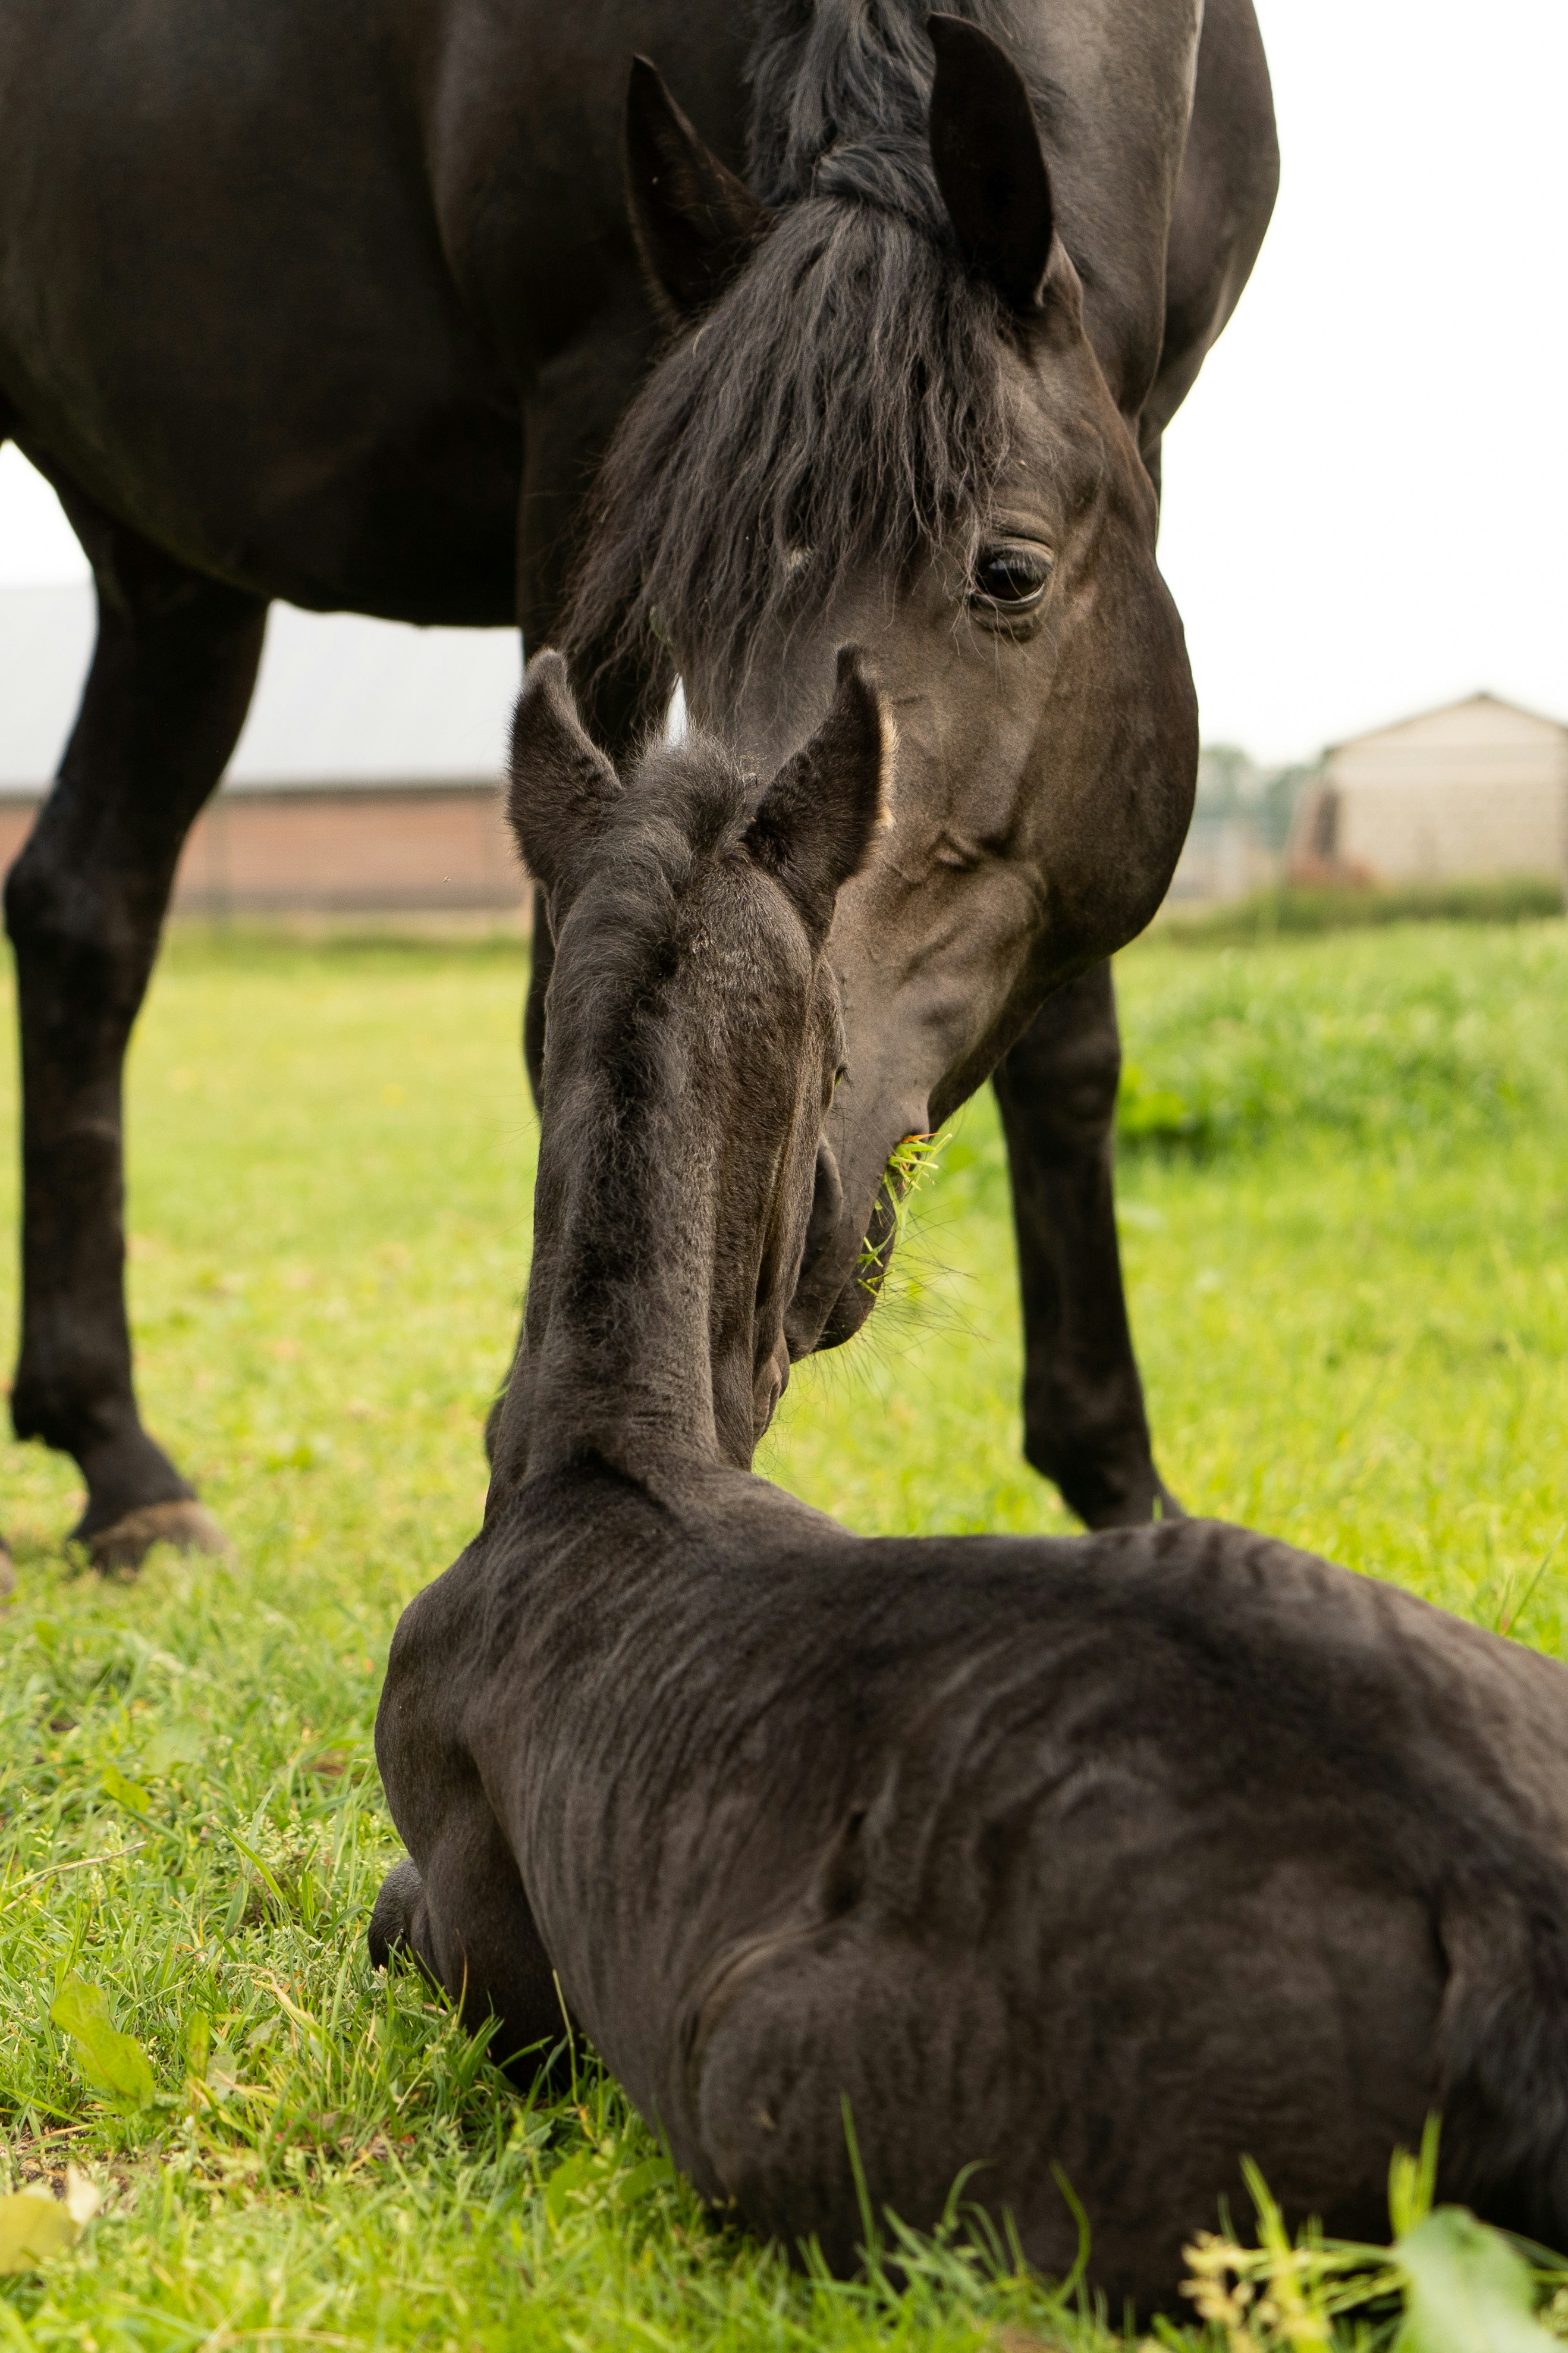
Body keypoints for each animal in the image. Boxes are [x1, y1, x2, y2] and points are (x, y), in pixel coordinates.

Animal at [0, 1, 1276, 1568]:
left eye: (1011, 571)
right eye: (682, 605)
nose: (776, 1190)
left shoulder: (1139, 421)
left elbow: (1068, 1048)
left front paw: (1116, 1481)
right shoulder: (584, 413)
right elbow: (559, 995)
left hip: (169, 570)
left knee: (83, 914)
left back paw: (123, 1468)